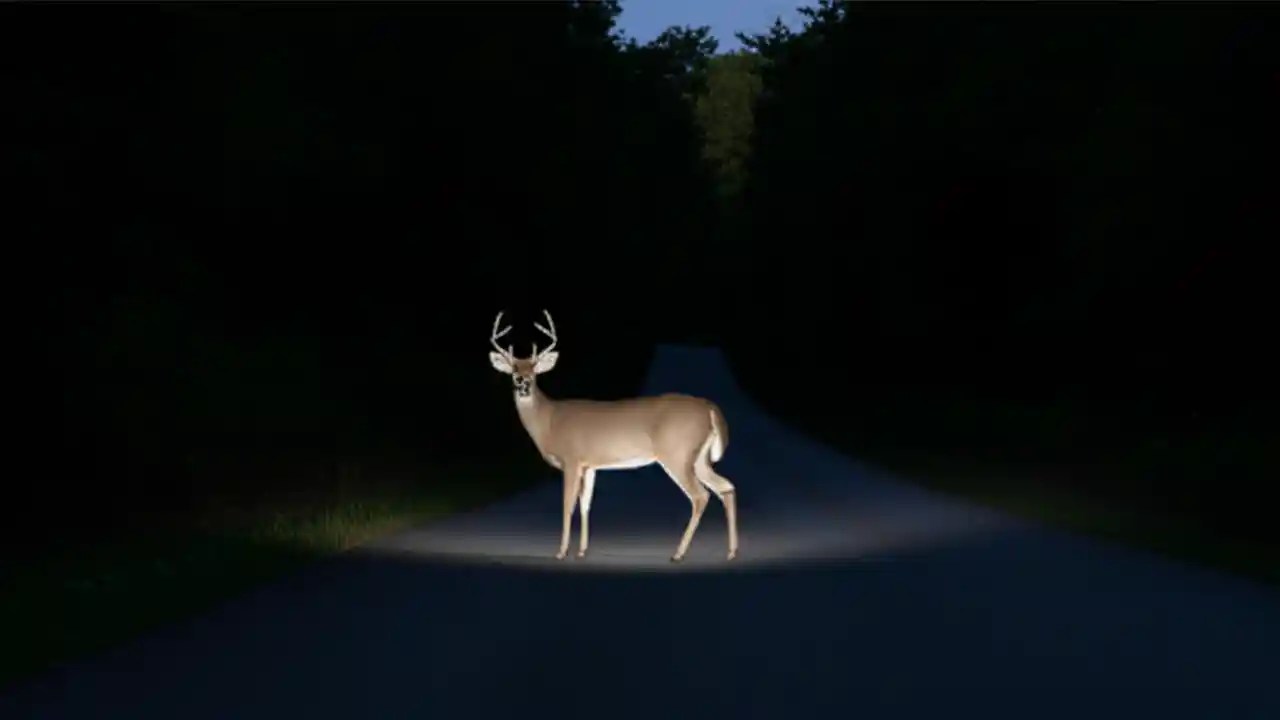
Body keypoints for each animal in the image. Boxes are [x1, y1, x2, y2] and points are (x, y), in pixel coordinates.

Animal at [488, 310, 739, 563]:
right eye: (513, 370)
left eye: (534, 370)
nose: (523, 383)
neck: (549, 421)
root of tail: (709, 408)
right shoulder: (589, 466)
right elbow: (585, 504)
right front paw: (581, 551)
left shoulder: (572, 459)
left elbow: (568, 504)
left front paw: (561, 552)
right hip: (698, 458)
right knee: (726, 487)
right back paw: (731, 551)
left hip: (678, 453)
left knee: (700, 496)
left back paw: (678, 553)